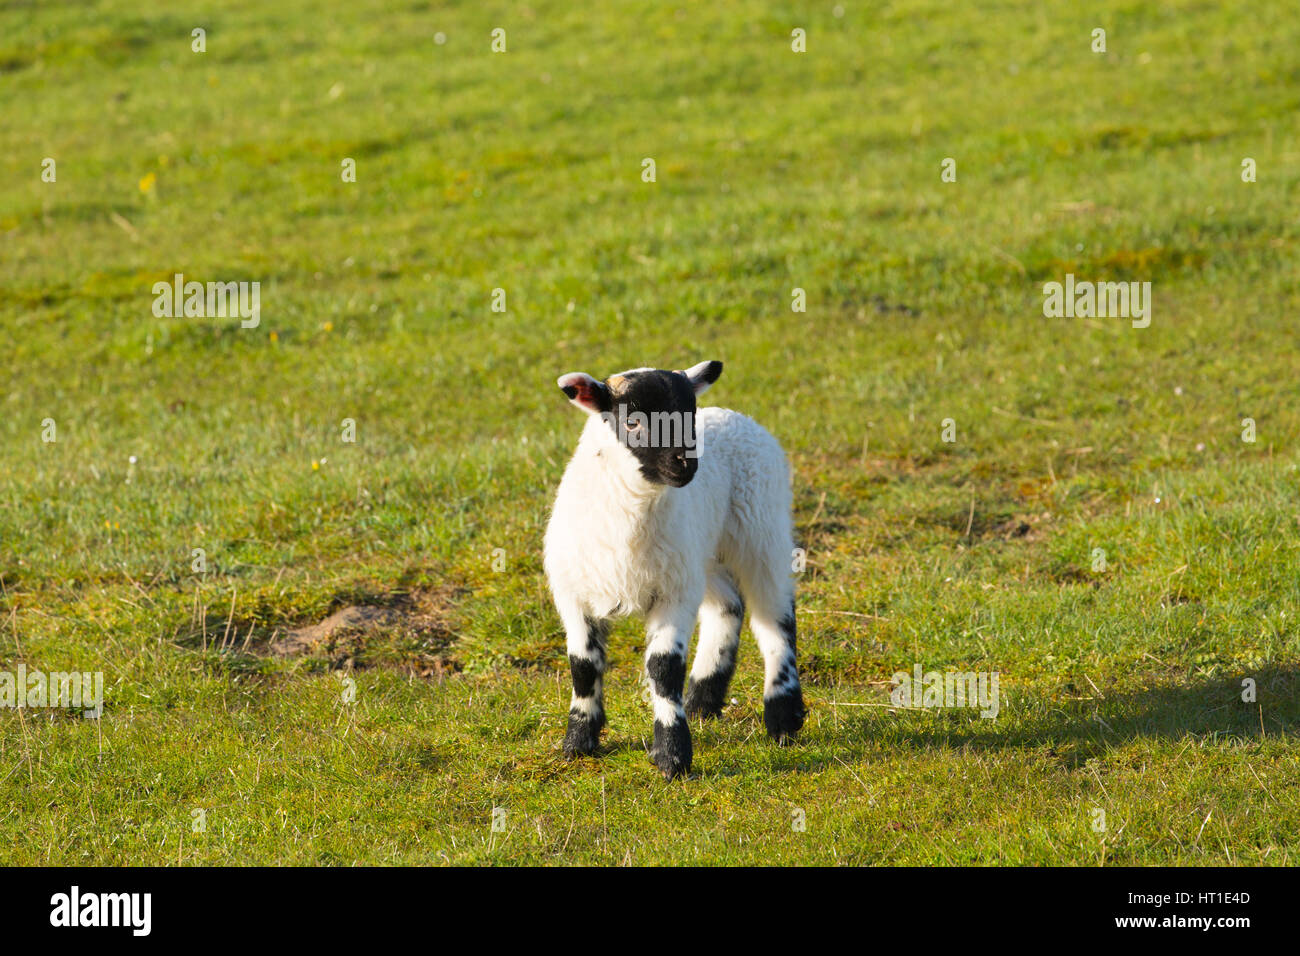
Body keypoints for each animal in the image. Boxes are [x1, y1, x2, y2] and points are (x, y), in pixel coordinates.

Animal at [543, 360, 805, 779]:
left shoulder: (673, 595)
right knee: (728, 607)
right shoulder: (574, 593)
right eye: (632, 421)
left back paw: (783, 715)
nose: (685, 462)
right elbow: (583, 666)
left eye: (689, 414)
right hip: (700, 554)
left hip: (762, 531)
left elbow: (663, 667)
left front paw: (671, 756)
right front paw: (578, 742)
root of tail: (735, 415)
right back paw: (702, 699)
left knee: (776, 619)